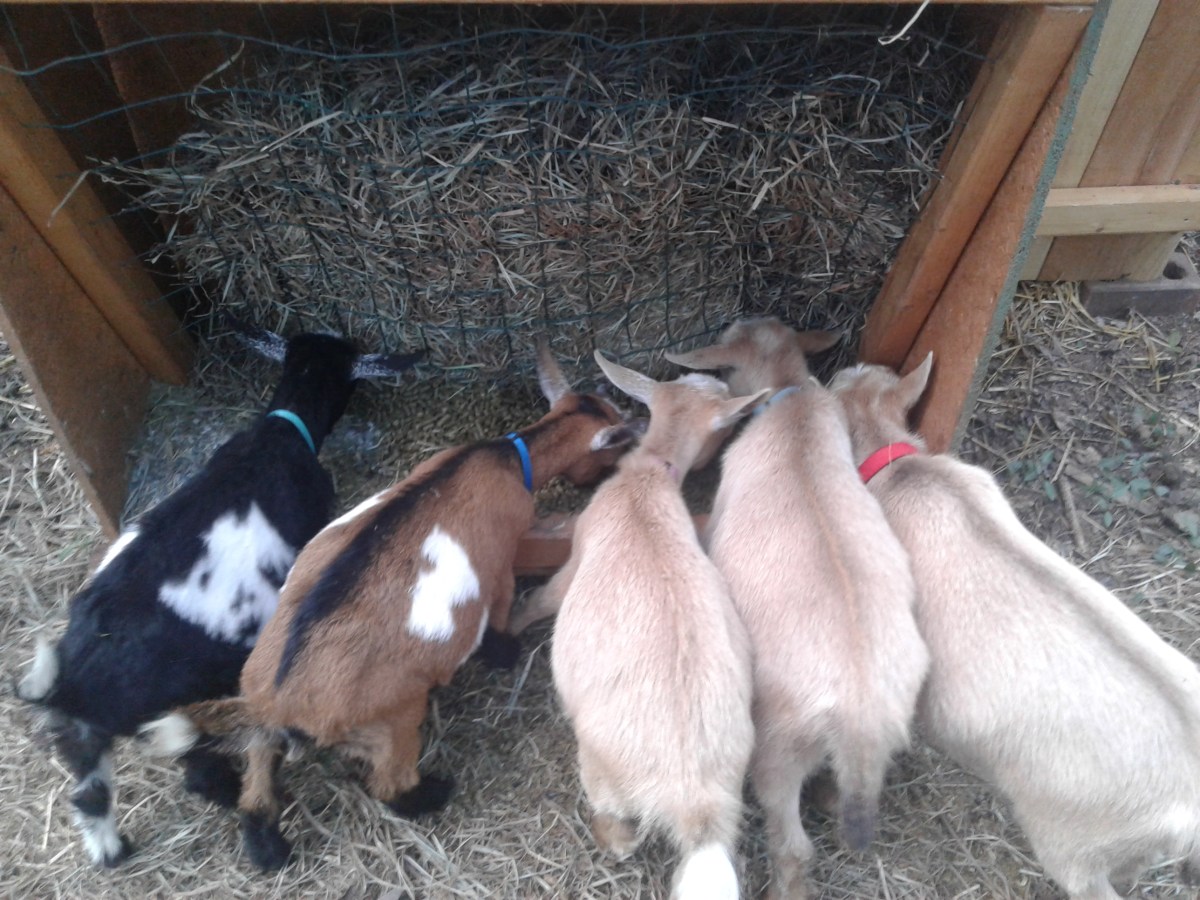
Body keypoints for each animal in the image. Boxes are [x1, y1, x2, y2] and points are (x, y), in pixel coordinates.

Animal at [15, 326, 421, 867]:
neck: (278, 434)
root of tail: (73, 681)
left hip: (82, 735)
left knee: (89, 795)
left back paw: (114, 852)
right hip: (177, 704)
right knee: (198, 771)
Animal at [139, 342, 640, 871]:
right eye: (615, 441)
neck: (507, 455)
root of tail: (276, 702)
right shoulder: (501, 560)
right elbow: (501, 611)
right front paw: (505, 655)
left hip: (258, 705)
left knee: (257, 780)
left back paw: (268, 848)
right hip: (392, 720)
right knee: (389, 785)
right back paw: (434, 793)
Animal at [525, 351, 765, 900]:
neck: (647, 478)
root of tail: (698, 808)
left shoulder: (574, 556)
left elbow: (540, 598)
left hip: (601, 770)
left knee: (617, 834)